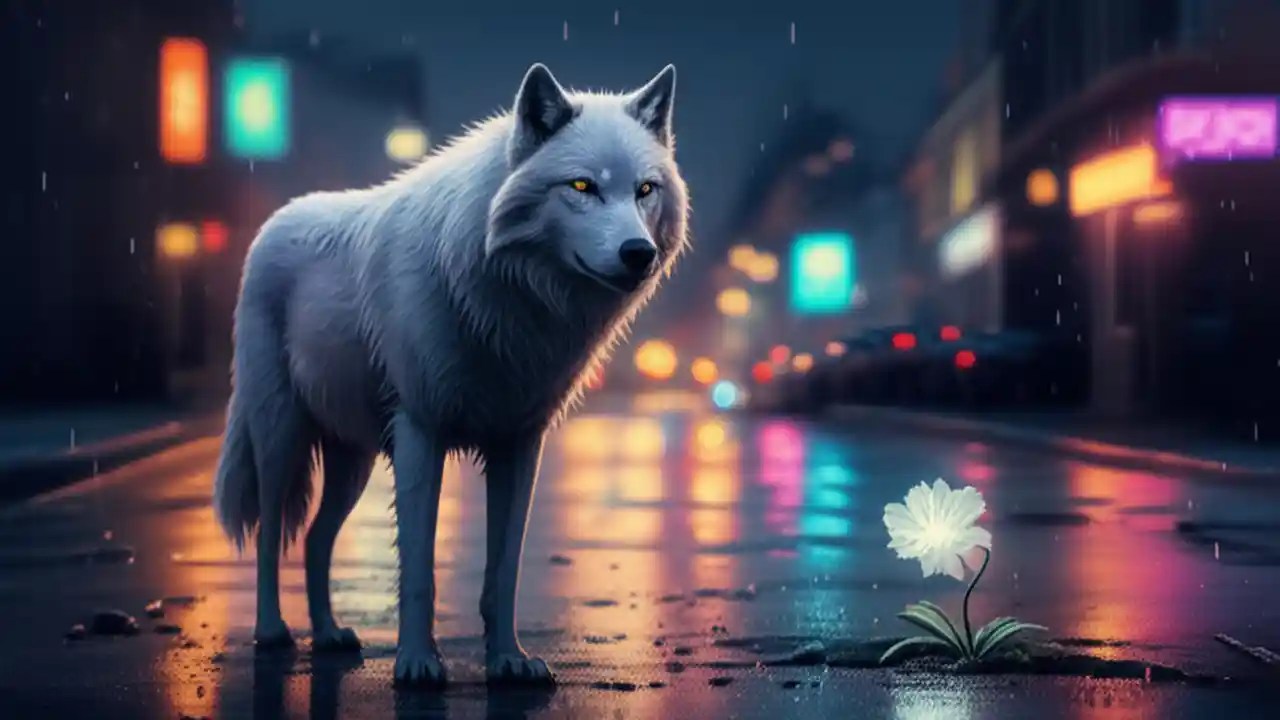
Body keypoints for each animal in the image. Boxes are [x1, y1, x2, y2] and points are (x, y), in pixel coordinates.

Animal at [212, 63, 688, 686]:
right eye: (583, 187)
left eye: (645, 190)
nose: (639, 253)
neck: (512, 300)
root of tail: (272, 222)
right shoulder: (421, 431)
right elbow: (419, 570)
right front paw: (417, 663)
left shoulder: (520, 443)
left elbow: (503, 572)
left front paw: (508, 659)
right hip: (281, 439)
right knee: (271, 533)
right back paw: (273, 631)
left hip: (354, 461)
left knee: (316, 539)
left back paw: (330, 633)